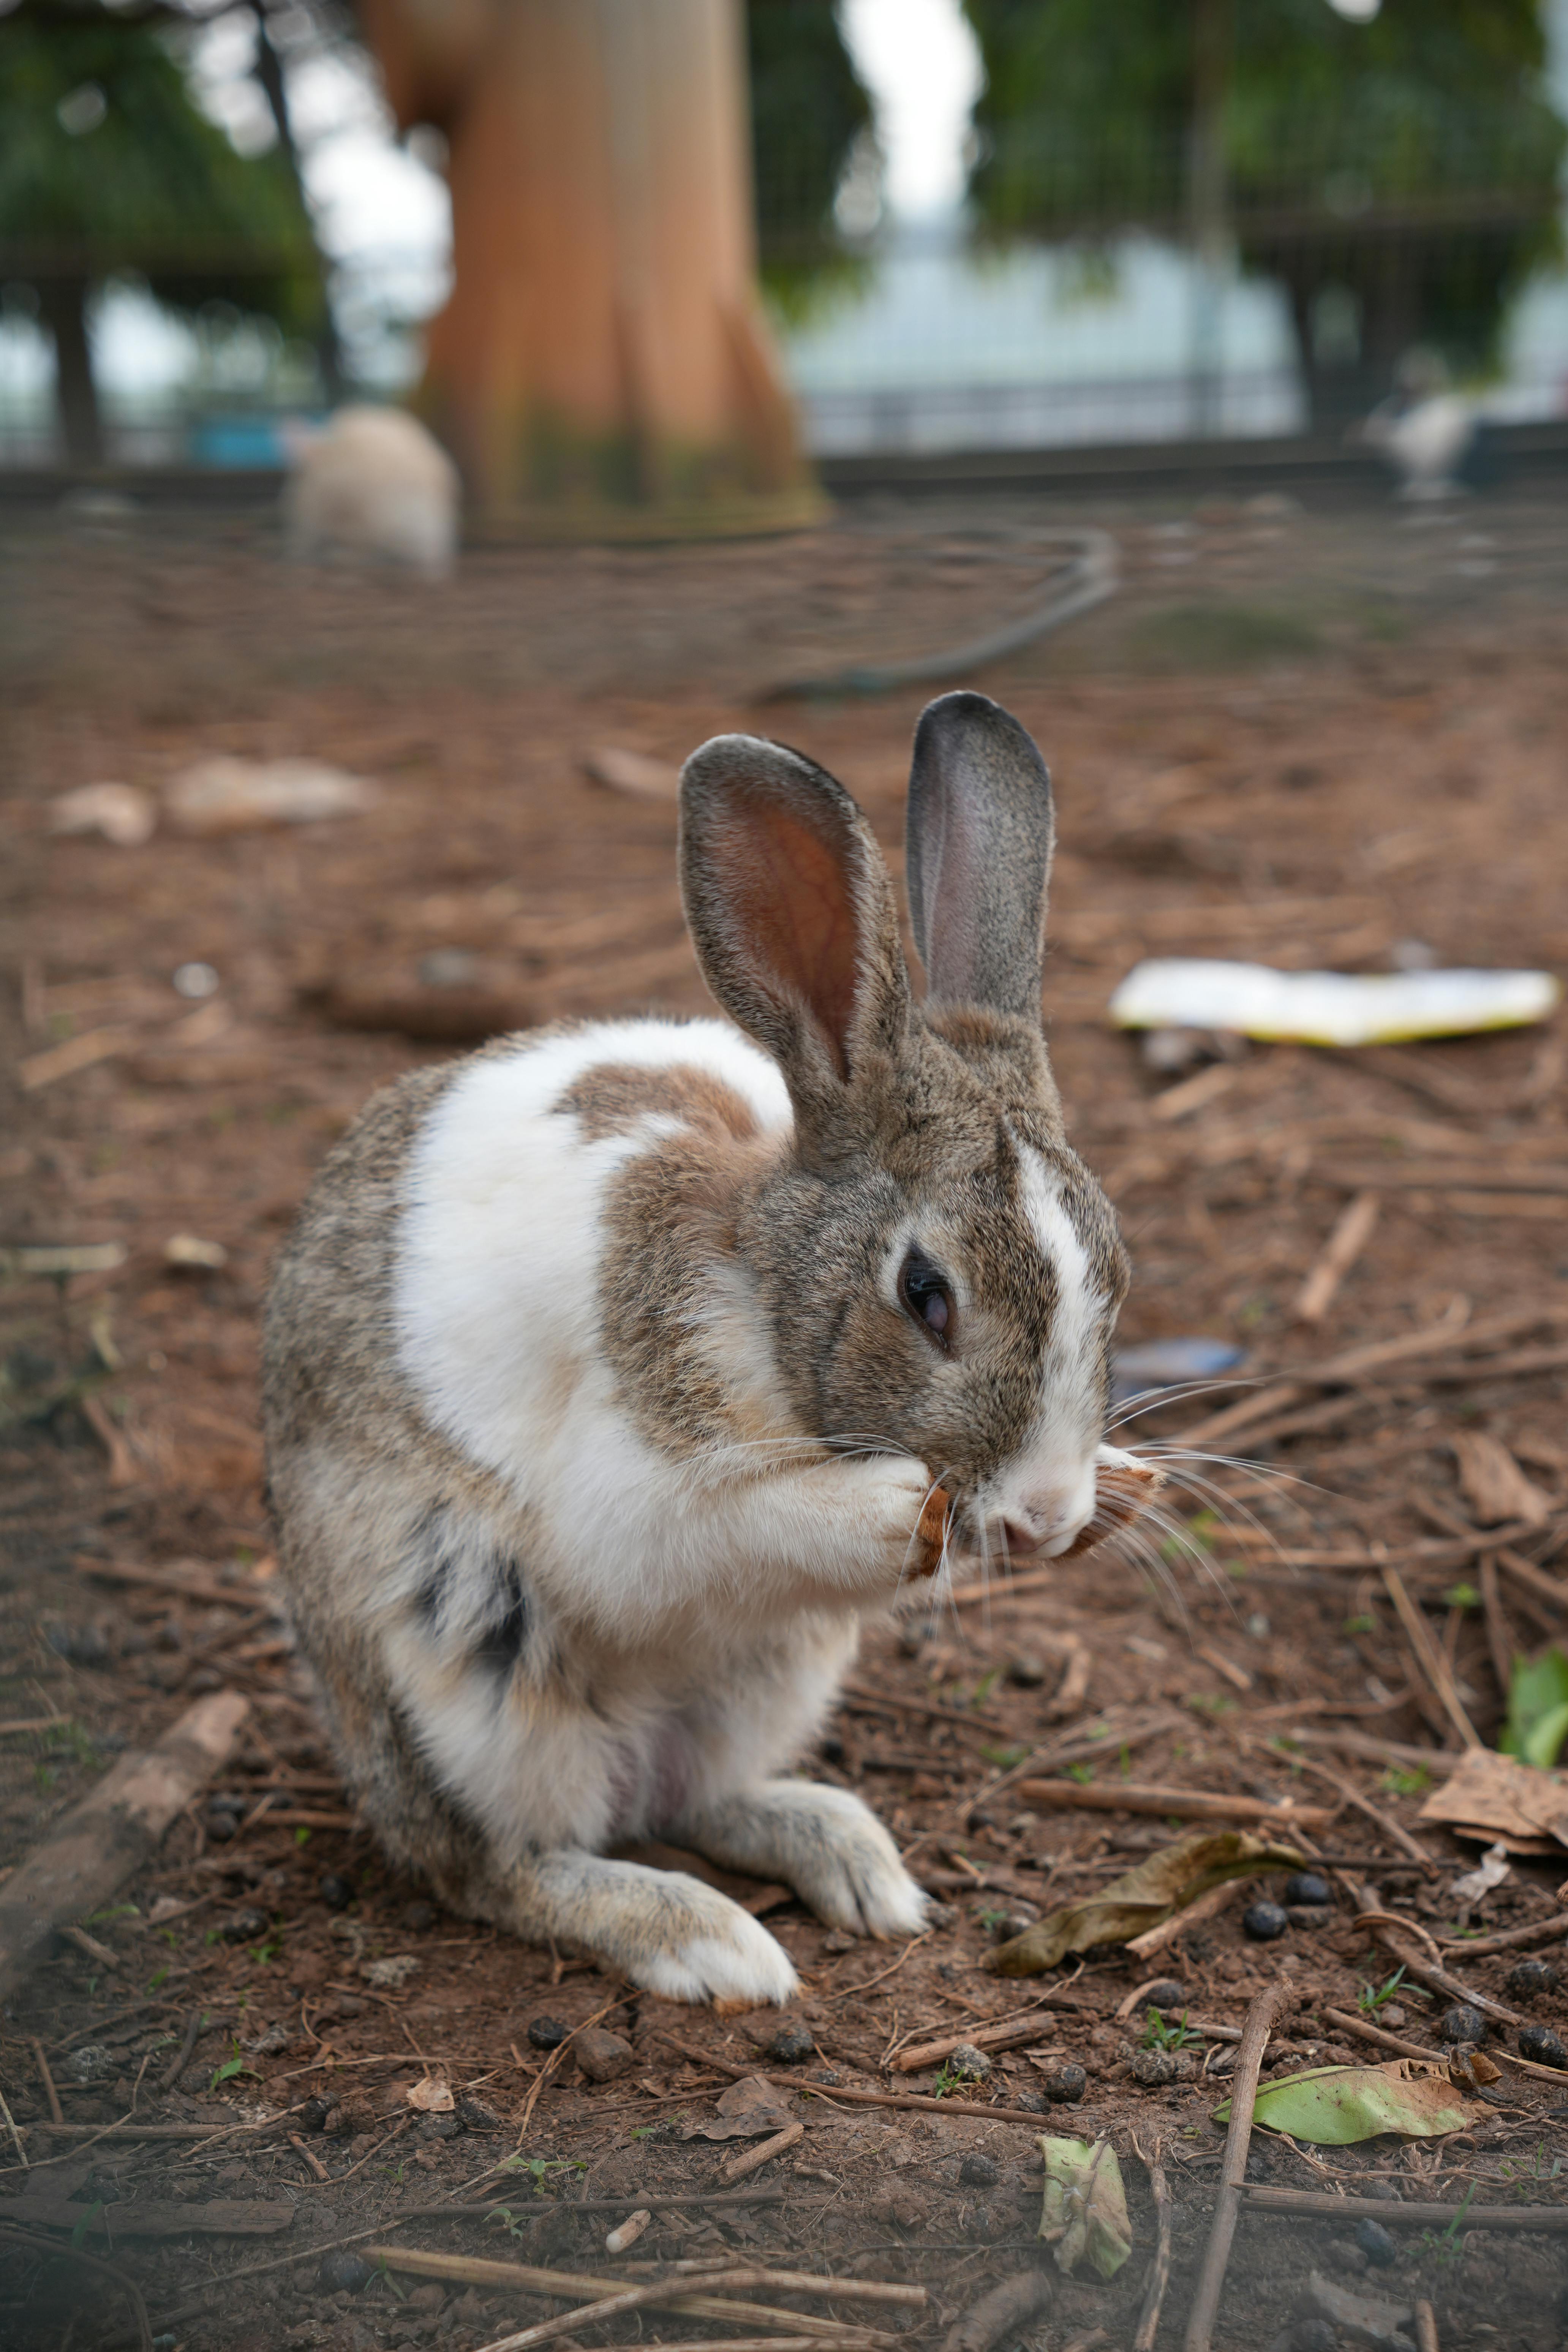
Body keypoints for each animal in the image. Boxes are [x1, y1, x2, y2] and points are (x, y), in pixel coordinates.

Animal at [261, 690, 1160, 2005]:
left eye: (1116, 1267)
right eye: (925, 1294)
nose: (1048, 1516)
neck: (768, 1291)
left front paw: (1124, 1493)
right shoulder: (634, 1485)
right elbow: (731, 1527)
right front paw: (896, 1510)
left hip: (765, 1675)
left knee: (689, 1797)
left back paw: (853, 1864)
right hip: (462, 1668)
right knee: (503, 1864)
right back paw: (708, 1943)